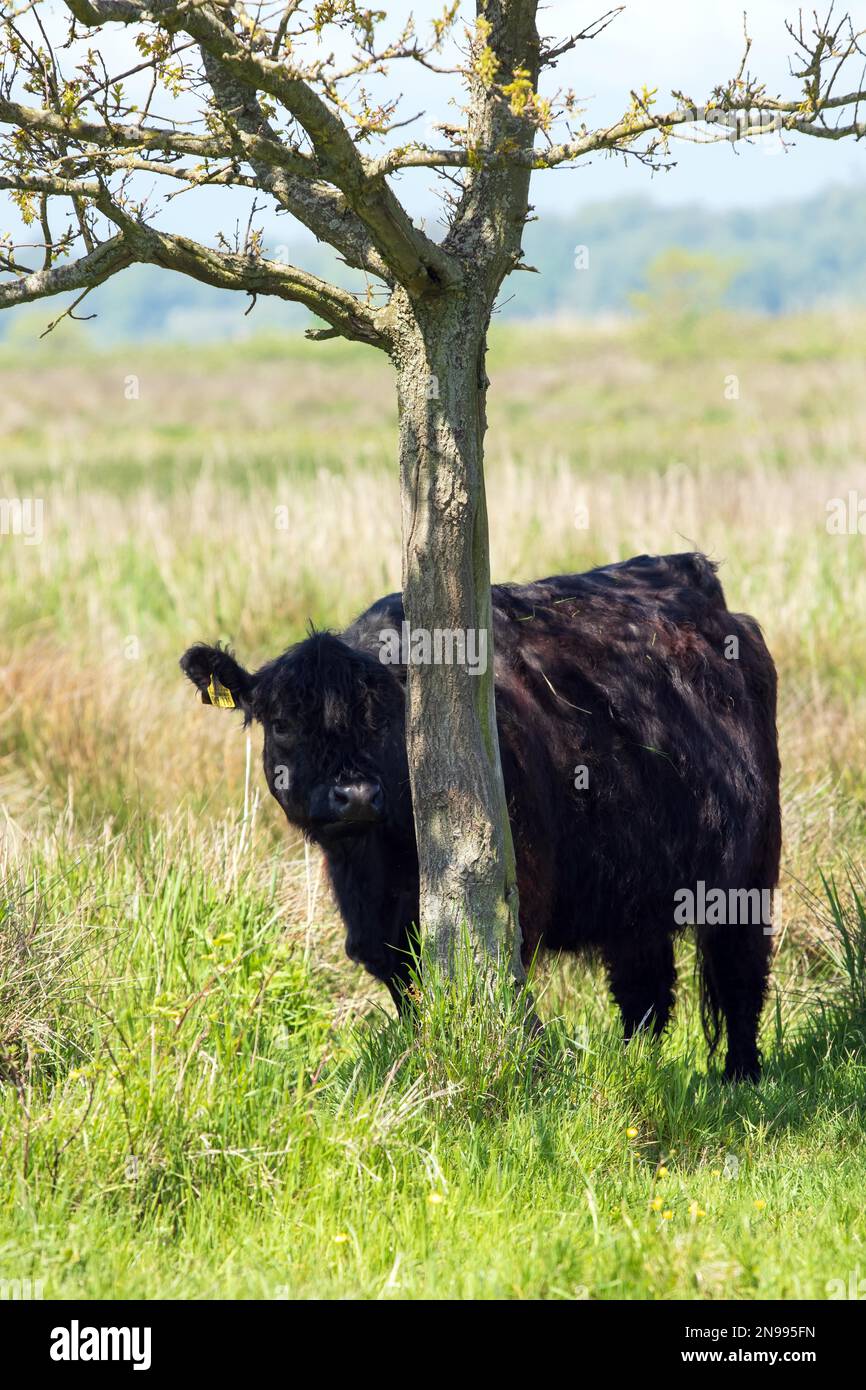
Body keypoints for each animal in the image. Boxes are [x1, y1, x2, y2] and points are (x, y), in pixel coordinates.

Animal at [180, 551, 781, 1082]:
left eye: (387, 719)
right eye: (282, 723)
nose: (354, 795)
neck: (383, 865)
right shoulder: (385, 938)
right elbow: (417, 1005)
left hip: (749, 872)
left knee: (739, 974)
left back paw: (741, 1077)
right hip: (634, 887)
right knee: (646, 992)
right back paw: (640, 1069)